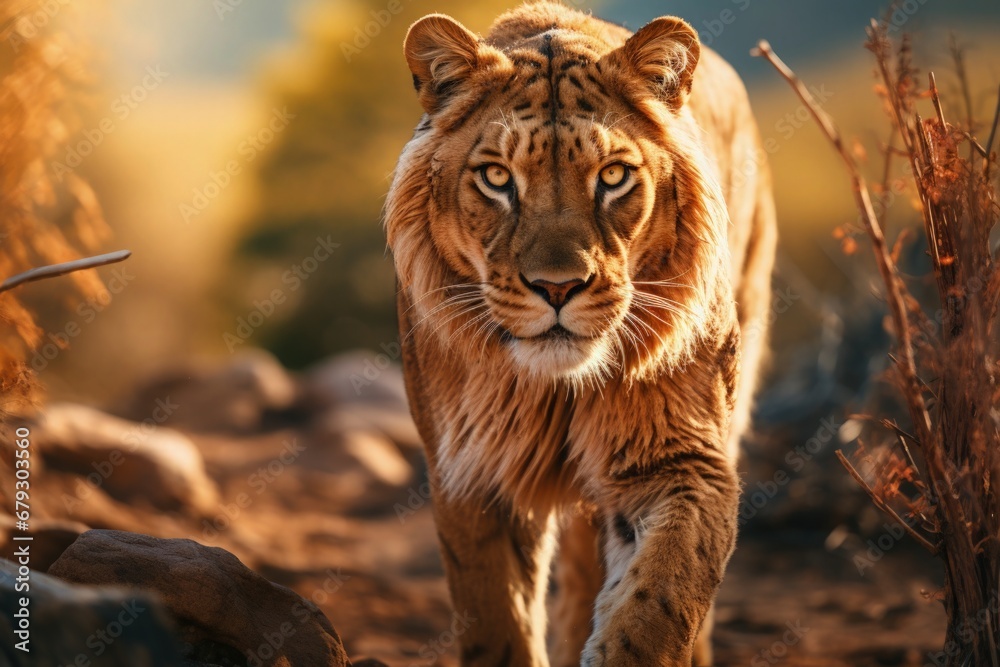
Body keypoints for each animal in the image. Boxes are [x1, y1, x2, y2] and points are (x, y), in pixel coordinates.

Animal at [384, 1, 777, 665]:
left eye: (613, 176)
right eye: (497, 178)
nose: (559, 288)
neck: (556, 386)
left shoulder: (679, 459)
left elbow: (660, 597)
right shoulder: (472, 472)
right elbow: (497, 622)